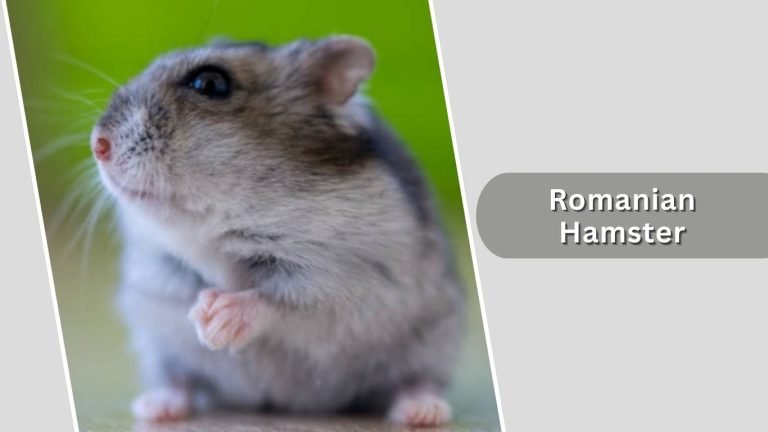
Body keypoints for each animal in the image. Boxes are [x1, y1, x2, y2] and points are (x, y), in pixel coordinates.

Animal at [90, 36, 465, 427]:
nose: (97, 145)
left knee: (418, 381)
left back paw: (423, 412)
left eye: (210, 83)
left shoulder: (345, 284)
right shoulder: (159, 278)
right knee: (179, 380)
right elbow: (188, 295)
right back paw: (153, 408)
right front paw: (202, 314)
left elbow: (279, 301)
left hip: (433, 342)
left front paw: (216, 319)